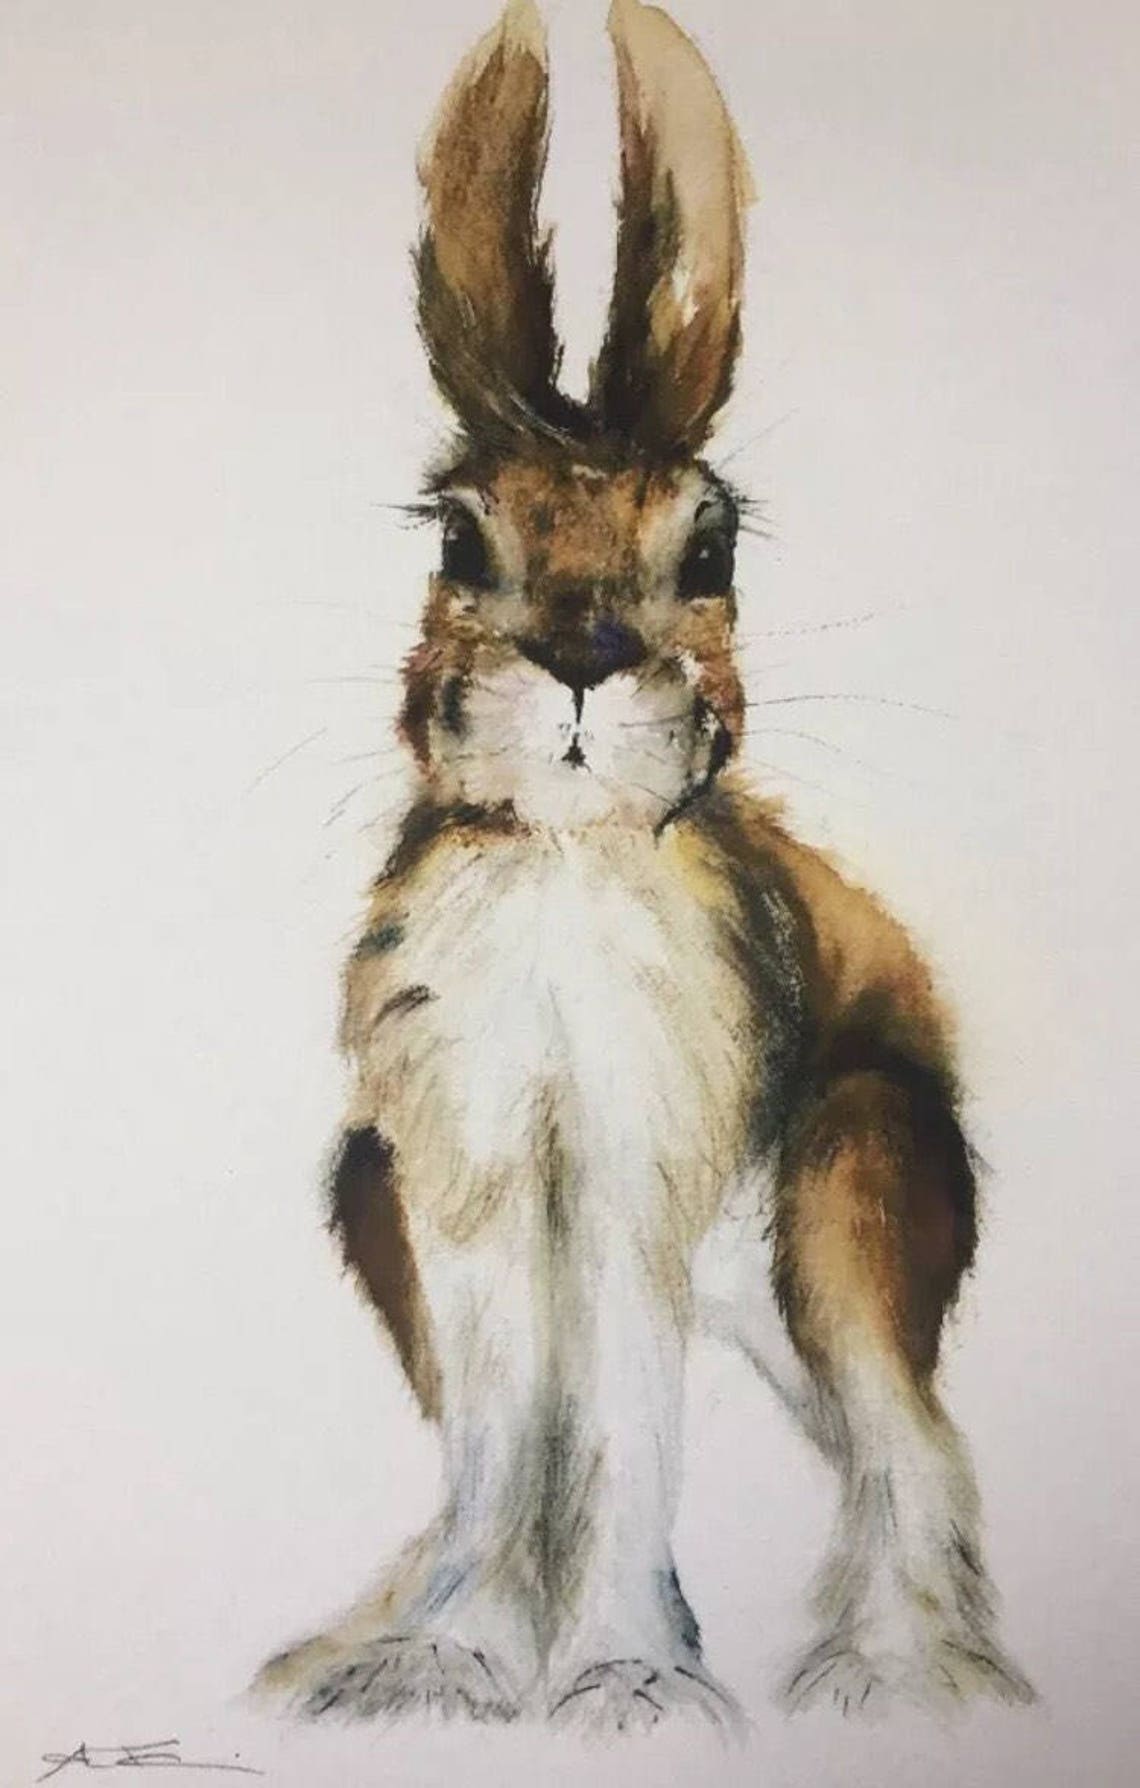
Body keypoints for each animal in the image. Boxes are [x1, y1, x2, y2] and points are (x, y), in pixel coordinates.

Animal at [254, 0, 1035, 1734]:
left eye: (714, 542)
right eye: (458, 538)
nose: (581, 661)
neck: (563, 866)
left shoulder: (631, 1185)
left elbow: (614, 1434)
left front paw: (624, 1687)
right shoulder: (464, 1185)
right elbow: (505, 1450)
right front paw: (447, 1669)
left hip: (846, 1194)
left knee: (911, 1443)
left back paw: (899, 1673)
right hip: (373, 1197)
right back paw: (340, 1646)